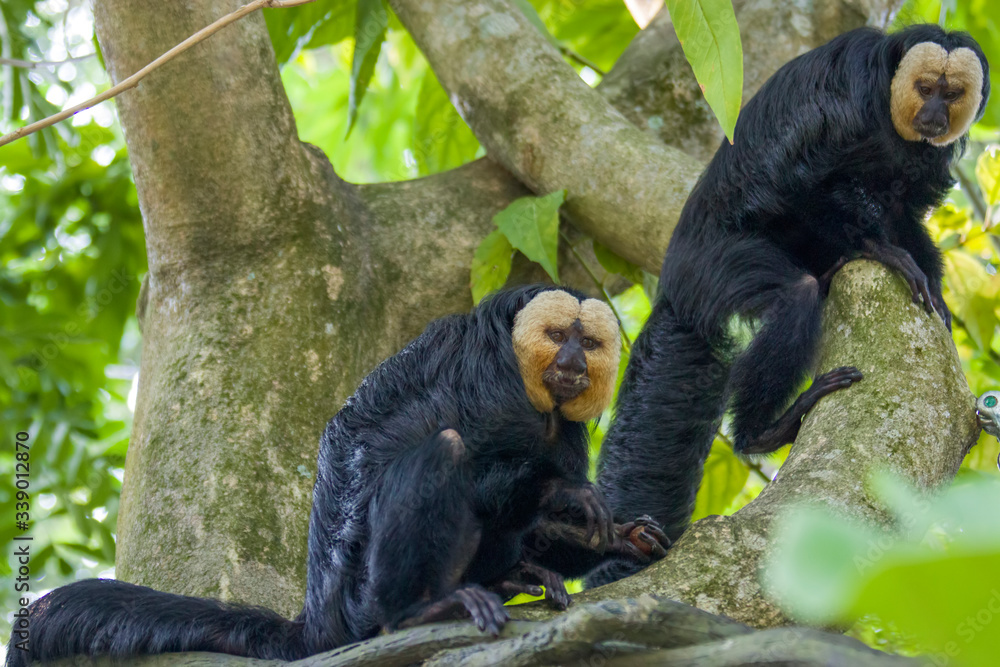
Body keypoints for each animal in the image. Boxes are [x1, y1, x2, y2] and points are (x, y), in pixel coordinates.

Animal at [8, 285, 668, 665]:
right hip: (357, 598)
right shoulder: (494, 389)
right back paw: (422, 610)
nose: (571, 362)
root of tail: (318, 621)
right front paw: (563, 495)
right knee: (445, 454)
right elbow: (486, 478)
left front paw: (612, 537)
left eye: (589, 342)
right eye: (557, 335)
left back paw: (512, 578)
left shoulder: (567, 426)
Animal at [592, 24, 989, 584]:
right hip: (709, 266)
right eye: (926, 87)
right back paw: (763, 433)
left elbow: (903, 207)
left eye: (951, 93)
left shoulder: (925, 159)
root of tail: (675, 283)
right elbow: (802, 182)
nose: (933, 113)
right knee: (795, 293)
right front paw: (880, 250)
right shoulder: (847, 99)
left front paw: (929, 278)